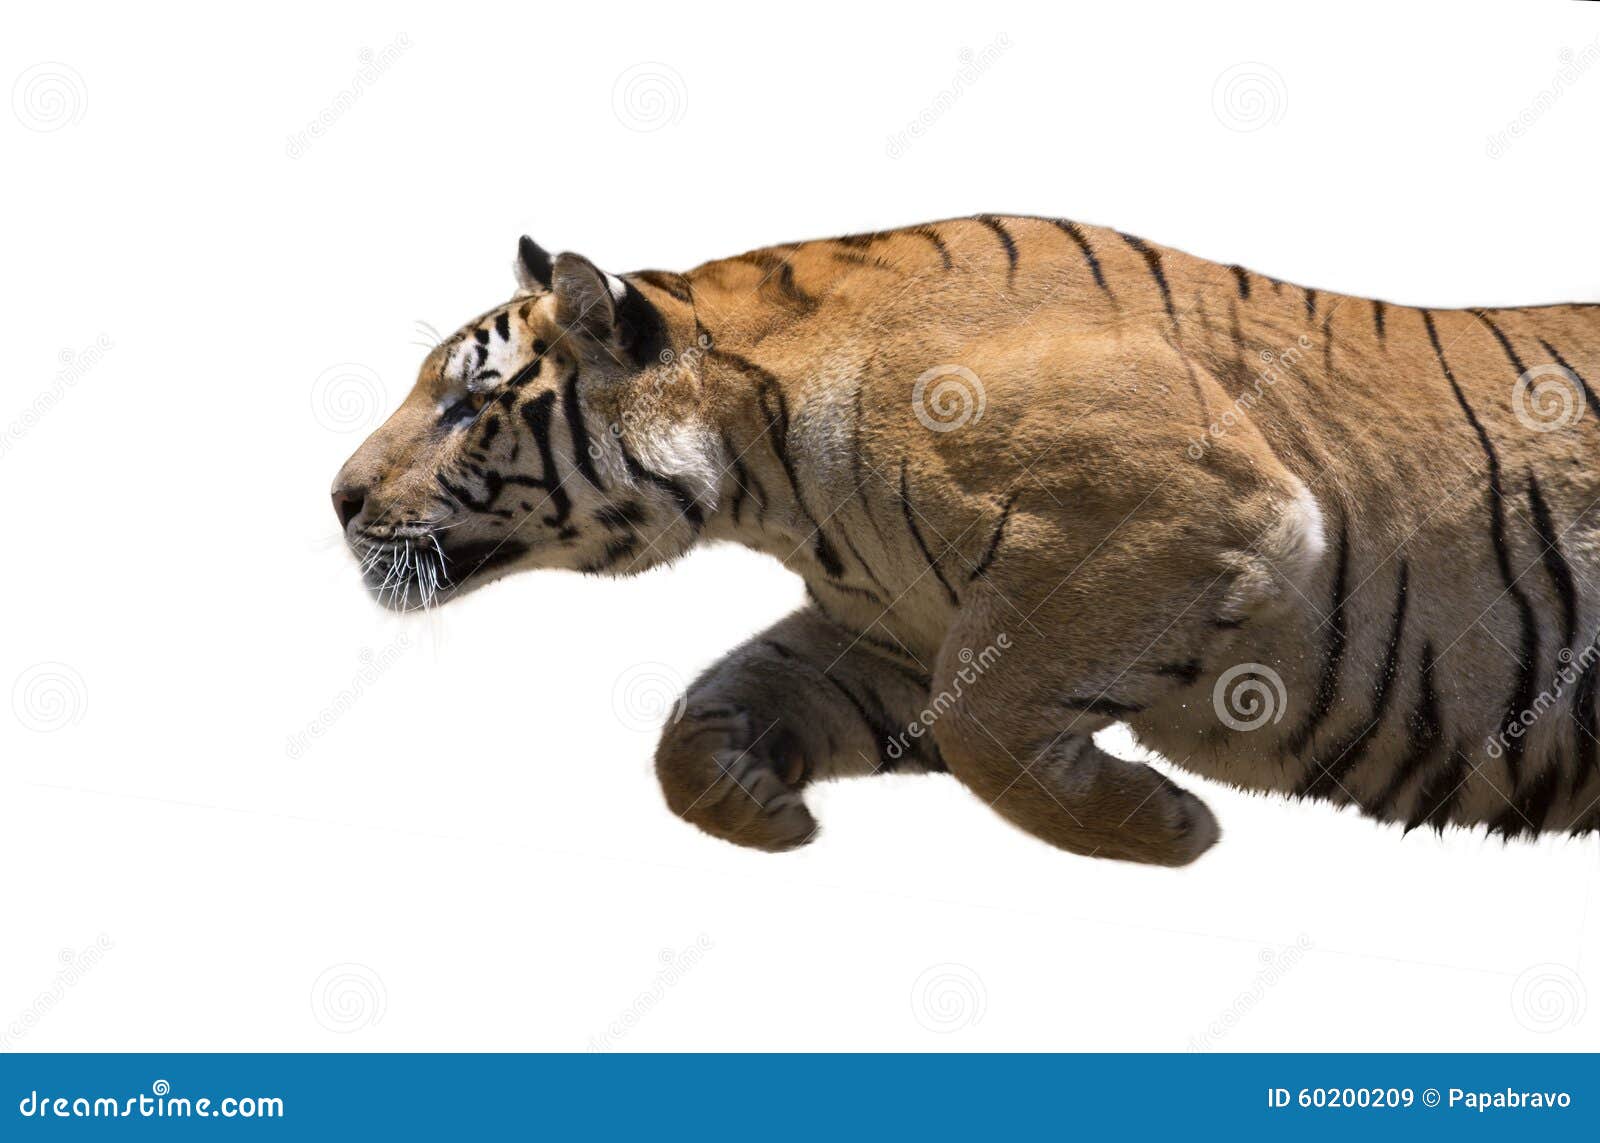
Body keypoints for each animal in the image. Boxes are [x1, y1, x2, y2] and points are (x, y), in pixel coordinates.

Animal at [331, 215, 1600, 865]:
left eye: (467, 404)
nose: (336, 500)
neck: (771, 481)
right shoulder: (897, 628)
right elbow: (698, 720)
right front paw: (763, 812)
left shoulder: (1200, 516)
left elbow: (986, 726)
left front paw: (1166, 827)